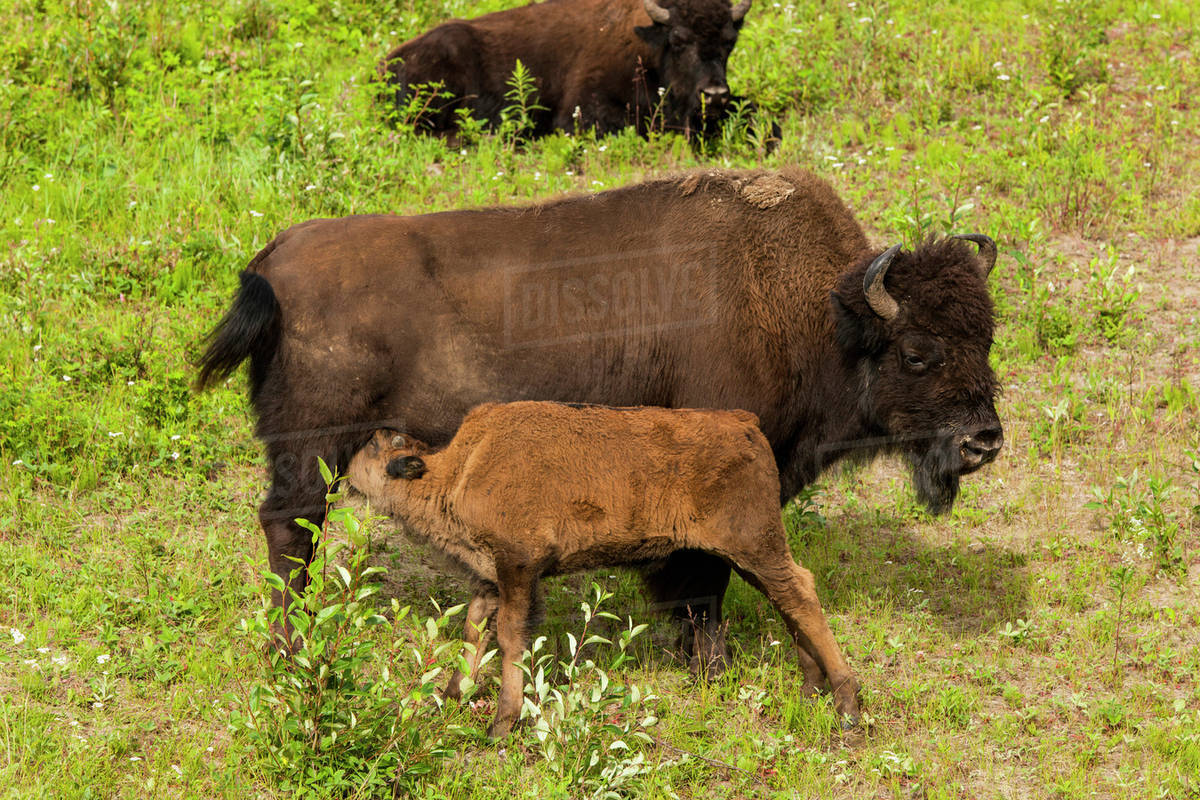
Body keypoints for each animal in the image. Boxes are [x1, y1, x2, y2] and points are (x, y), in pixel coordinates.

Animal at [196, 167, 1004, 674]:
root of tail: (271, 263)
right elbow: (702, 580)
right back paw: (289, 649)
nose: (984, 440)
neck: (814, 312)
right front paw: (713, 667)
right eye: (919, 351)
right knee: (291, 530)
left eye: (988, 336)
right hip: (313, 449)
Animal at [346, 402, 861, 737]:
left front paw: (502, 724)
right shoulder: (492, 576)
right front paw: (453, 695)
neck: (457, 468)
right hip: (749, 552)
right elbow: (474, 629)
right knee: (790, 598)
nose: (344, 464)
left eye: (374, 446)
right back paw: (811, 689)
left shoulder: (519, 567)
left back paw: (847, 706)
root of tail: (744, 423)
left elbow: (510, 636)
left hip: (753, 543)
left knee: (799, 593)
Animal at [378, 0, 762, 140]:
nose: (714, 95)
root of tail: (386, 66)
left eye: (730, 41)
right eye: (680, 39)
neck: (651, 41)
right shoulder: (583, 109)